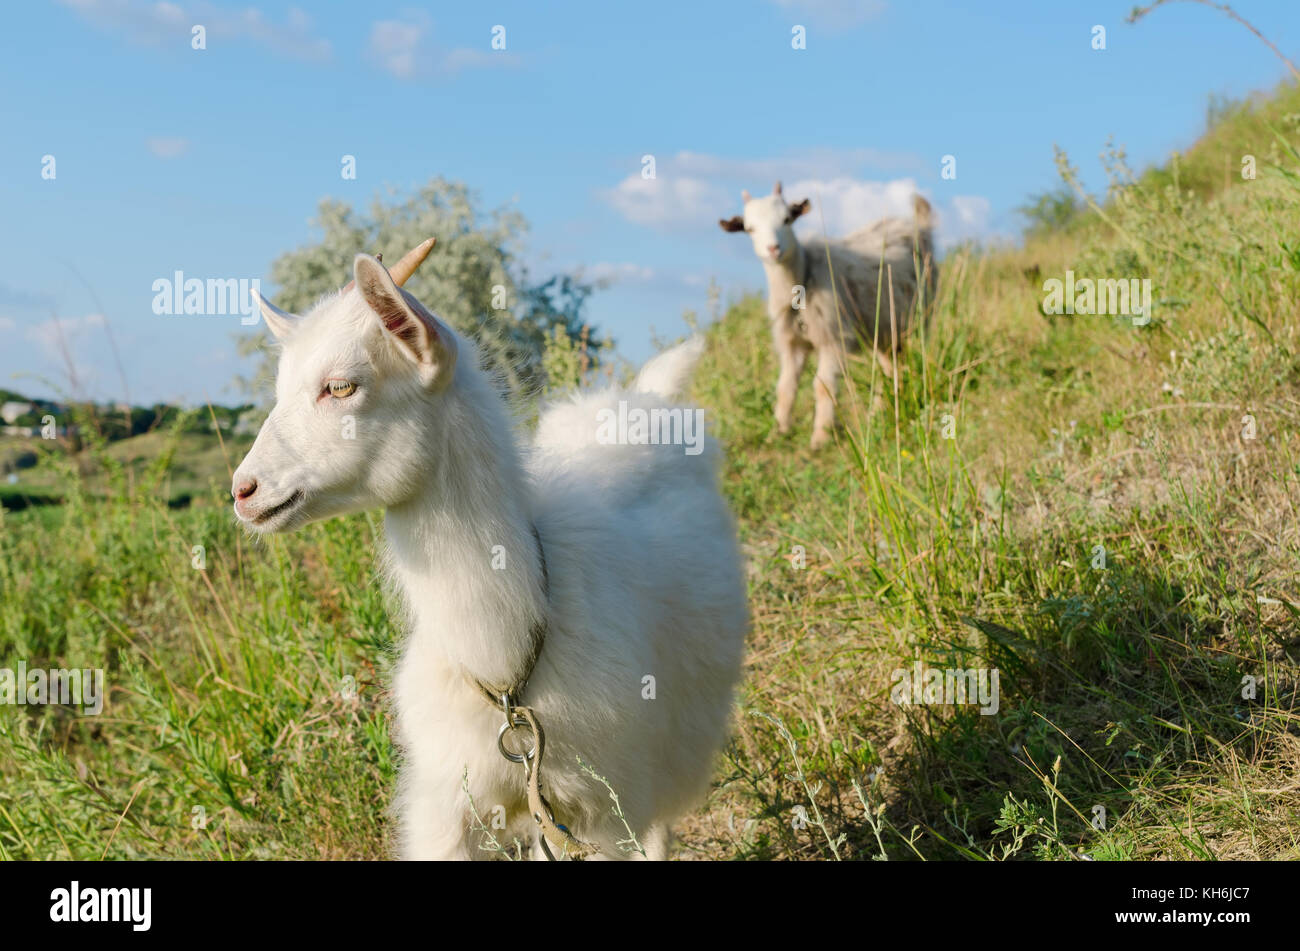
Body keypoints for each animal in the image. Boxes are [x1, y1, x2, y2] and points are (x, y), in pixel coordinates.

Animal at [233, 241, 748, 860]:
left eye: (341, 387)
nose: (243, 490)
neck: (503, 667)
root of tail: (645, 396)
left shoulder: (603, 808)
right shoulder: (449, 804)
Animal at [720, 183, 936, 448]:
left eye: (787, 219)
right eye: (749, 229)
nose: (773, 249)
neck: (803, 278)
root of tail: (919, 226)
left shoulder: (834, 337)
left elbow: (823, 387)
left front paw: (820, 439)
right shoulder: (793, 343)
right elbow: (785, 388)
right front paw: (778, 432)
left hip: (918, 316)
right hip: (884, 328)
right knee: (891, 367)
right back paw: (880, 412)